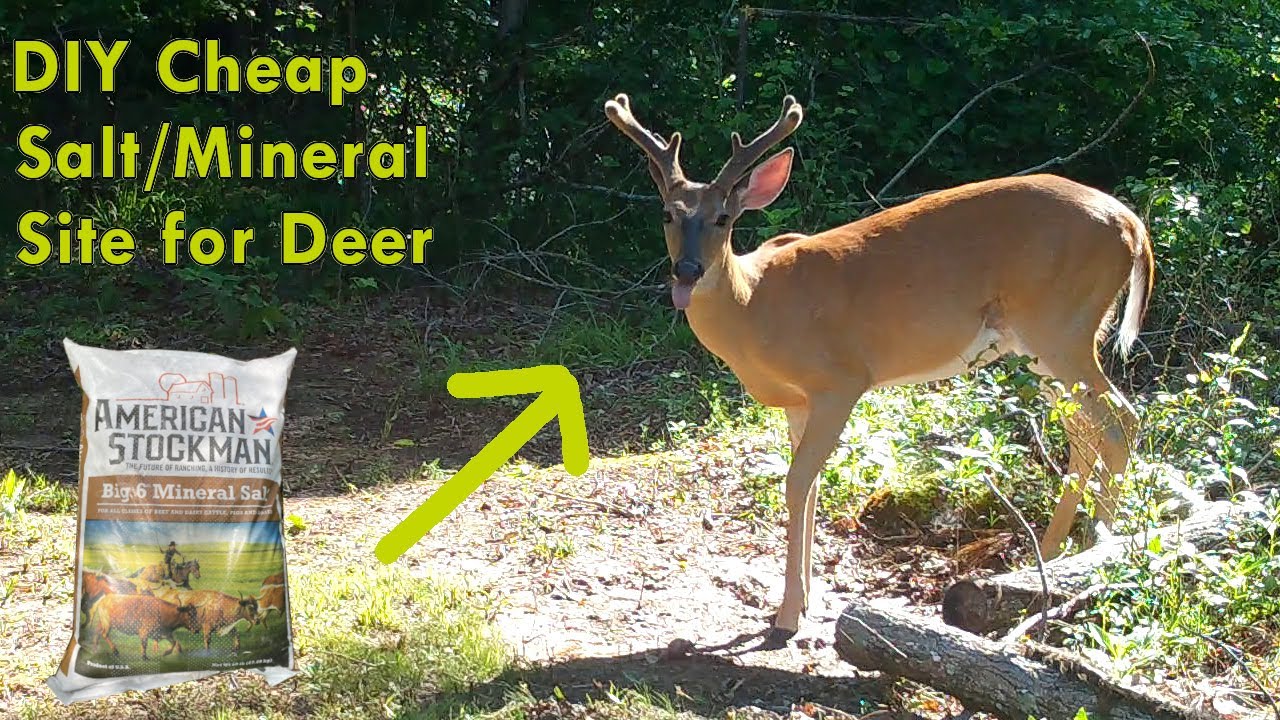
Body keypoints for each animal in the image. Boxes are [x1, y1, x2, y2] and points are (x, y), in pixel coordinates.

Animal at [602, 92, 1153, 640]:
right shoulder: (797, 402)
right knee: (1084, 430)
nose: (687, 270)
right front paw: (807, 598)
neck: (754, 305)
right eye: (667, 214)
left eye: (723, 217)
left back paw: (1099, 549)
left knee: (1122, 420)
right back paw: (1054, 555)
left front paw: (787, 615)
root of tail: (1133, 225)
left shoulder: (840, 379)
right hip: (1039, 346)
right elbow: (812, 485)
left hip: (1062, 325)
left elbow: (796, 484)